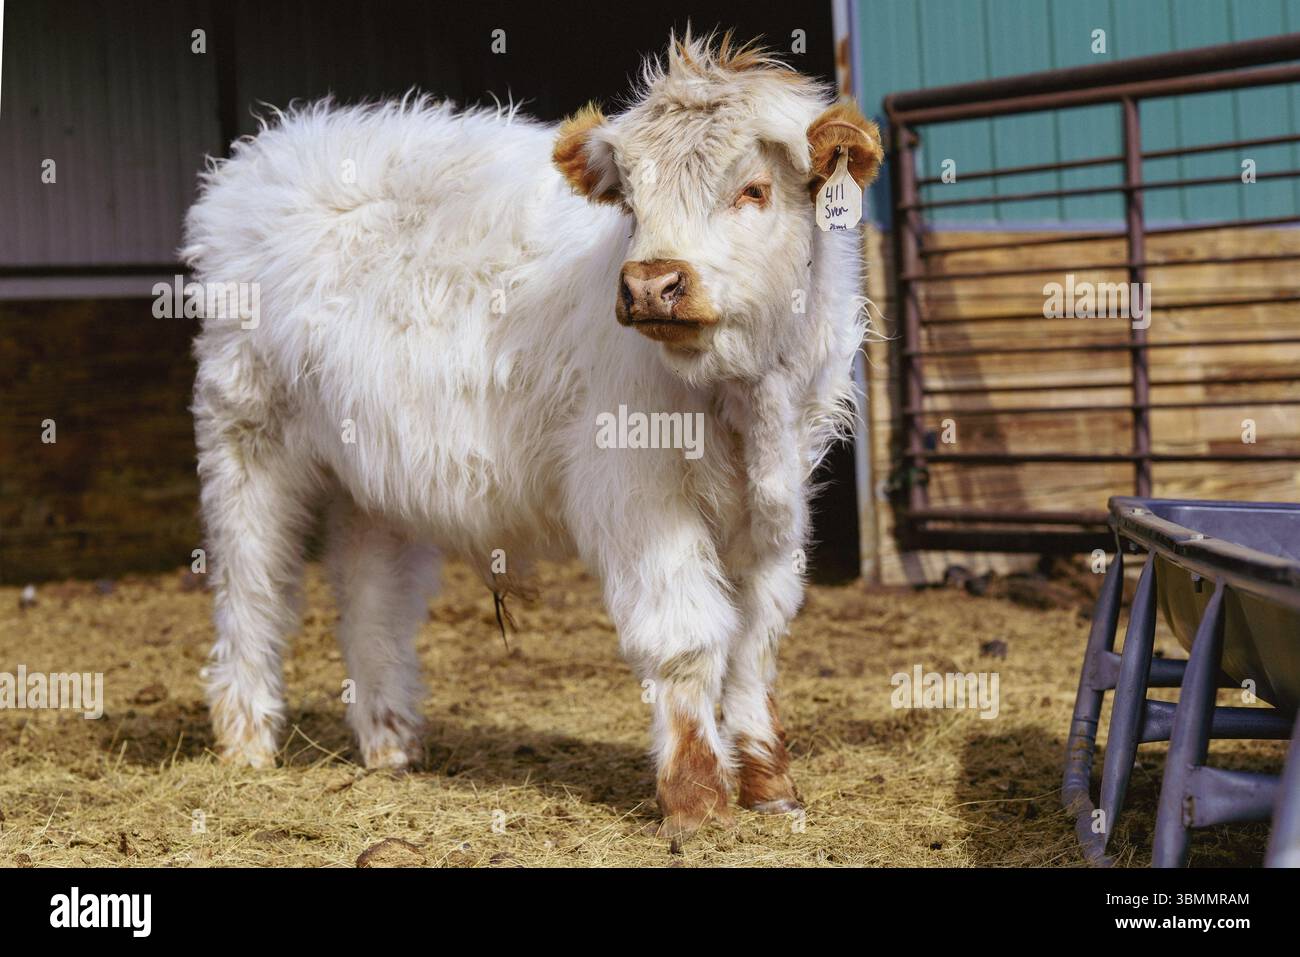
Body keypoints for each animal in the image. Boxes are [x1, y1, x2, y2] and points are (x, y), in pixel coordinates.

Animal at [182, 30, 882, 843]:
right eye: (632, 201)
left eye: (755, 191)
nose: (651, 285)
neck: (747, 397)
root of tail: (275, 144)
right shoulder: (639, 494)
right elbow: (687, 639)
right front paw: (697, 799)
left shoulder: (779, 502)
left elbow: (756, 640)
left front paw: (771, 782)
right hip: (245, 436)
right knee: (252, 586)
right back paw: (247, 739)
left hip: (373, 477)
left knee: (370, 600)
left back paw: (390, 743)